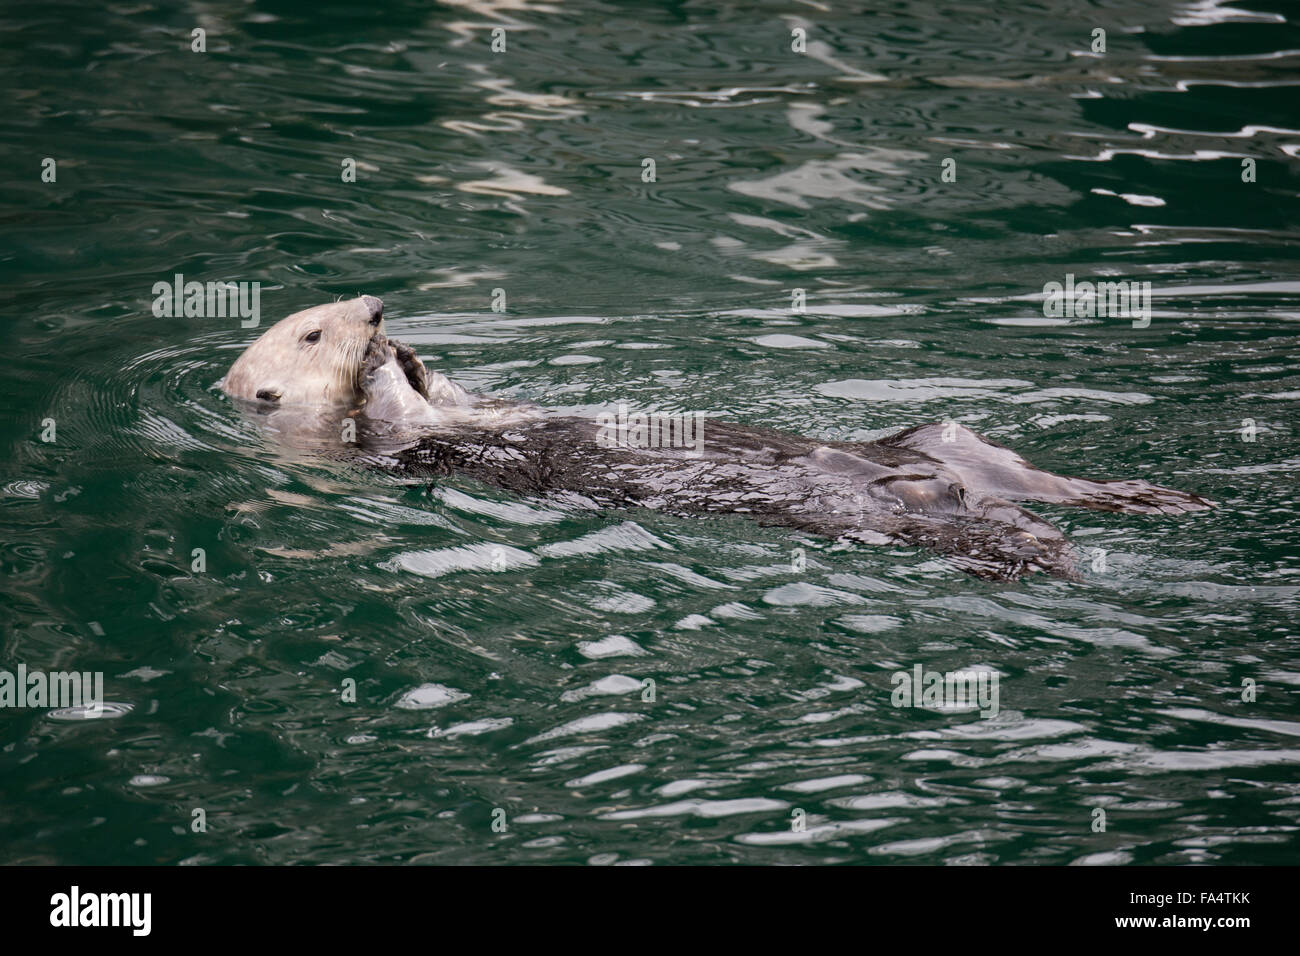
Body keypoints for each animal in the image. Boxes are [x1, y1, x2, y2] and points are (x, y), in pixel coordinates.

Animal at [220, 296, 1214, 580]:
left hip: (951, 439)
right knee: (990, 524)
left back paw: (1159, 499)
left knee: (1020, 474)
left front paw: (417, 356)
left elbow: (468, 397)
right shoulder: (380, 450)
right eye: (313, 333)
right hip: (906, 505)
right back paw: (1059, 558)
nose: (377, 311)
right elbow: (397, 420)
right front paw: (385, 368)